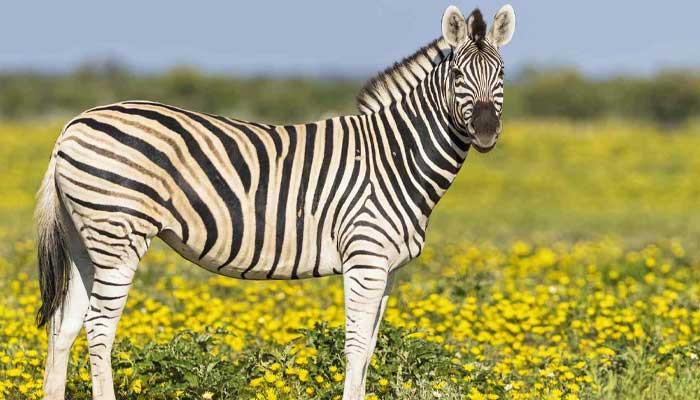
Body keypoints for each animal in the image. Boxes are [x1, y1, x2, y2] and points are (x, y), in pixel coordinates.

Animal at [37, 4, 515, 400]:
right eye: (458, 77)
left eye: (503, 75)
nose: (487, 132)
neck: (394, 156)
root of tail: (71, 126)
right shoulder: (365, 258)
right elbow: (356, 346)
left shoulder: (388, 268)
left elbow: (370, 348)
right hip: (118, 234)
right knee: (98, 328)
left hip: (86, 241)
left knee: (64, 325)